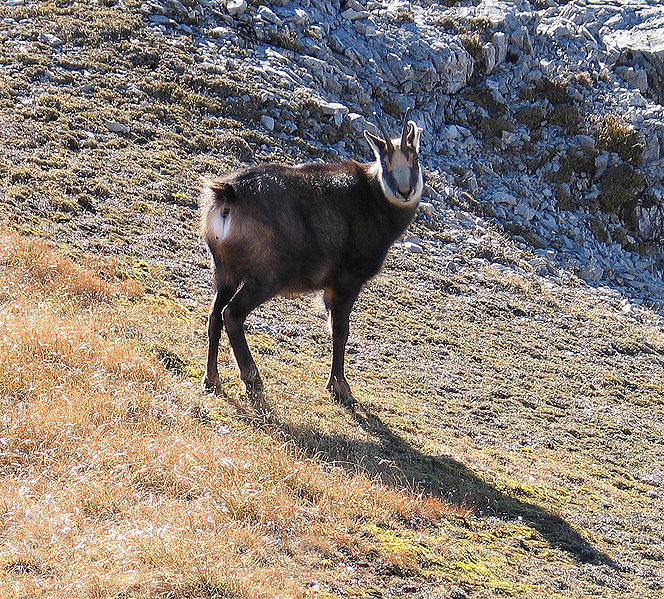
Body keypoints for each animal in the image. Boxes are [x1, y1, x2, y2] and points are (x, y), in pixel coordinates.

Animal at [199, 113, 423, 405]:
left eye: (414, 159)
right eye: (385, 162)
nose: (405, 191)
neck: (374, 202)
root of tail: (228, 194)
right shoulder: (346, 282)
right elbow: (340, 331)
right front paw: (340, 388)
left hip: (224, 270)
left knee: (214, 314)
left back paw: (212, 380)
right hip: (266, 276)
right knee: (232, 314)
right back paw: (253, 379)